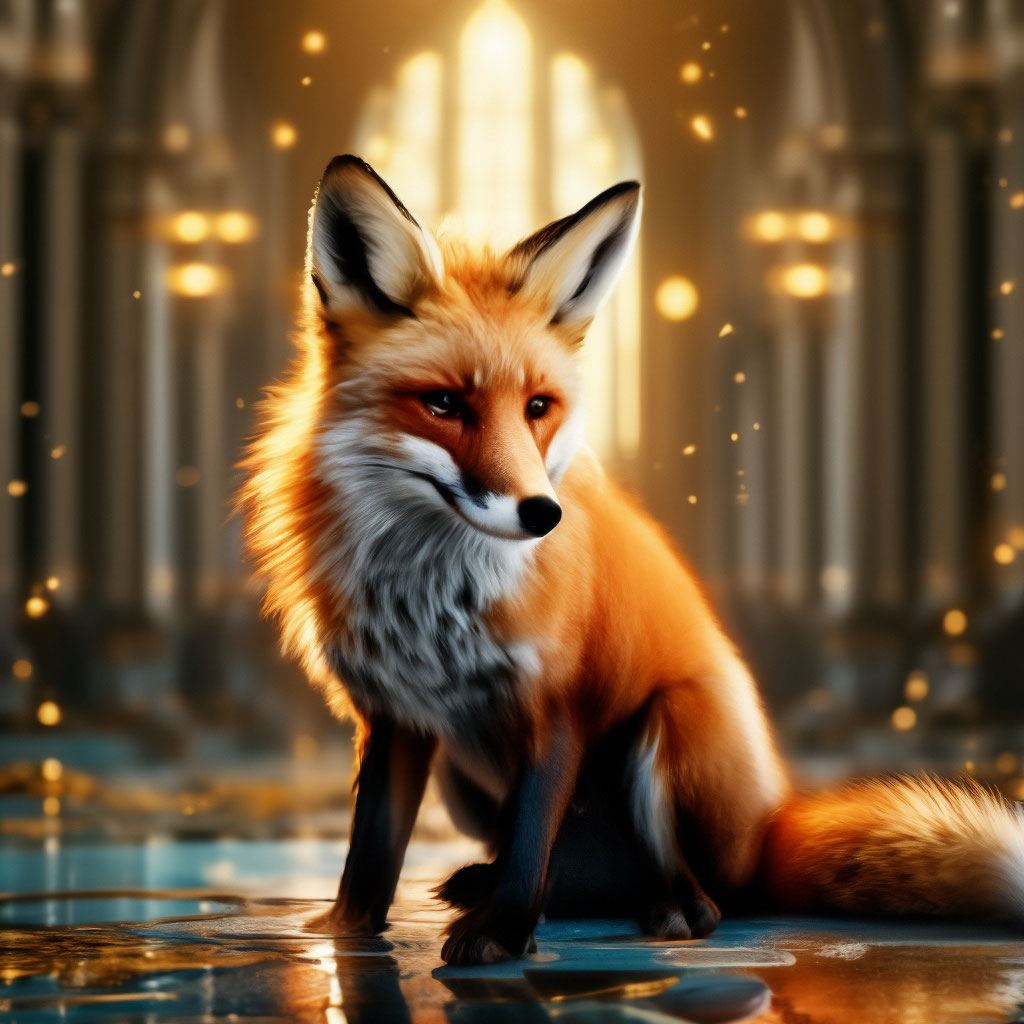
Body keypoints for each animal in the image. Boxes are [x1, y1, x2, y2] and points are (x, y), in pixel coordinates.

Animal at [240, 154, 1024, 966]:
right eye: (445, 405)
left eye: (538, 406)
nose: (542, 514)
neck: (430, 595)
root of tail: (769, 834)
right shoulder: (394, 716)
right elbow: (372, 852)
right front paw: (344, 935)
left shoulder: (559, 705)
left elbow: (530, 840)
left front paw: (500, 933)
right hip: (465, 777)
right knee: (576, 880)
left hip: (667, 730)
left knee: (703, 896)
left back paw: (665, 909)